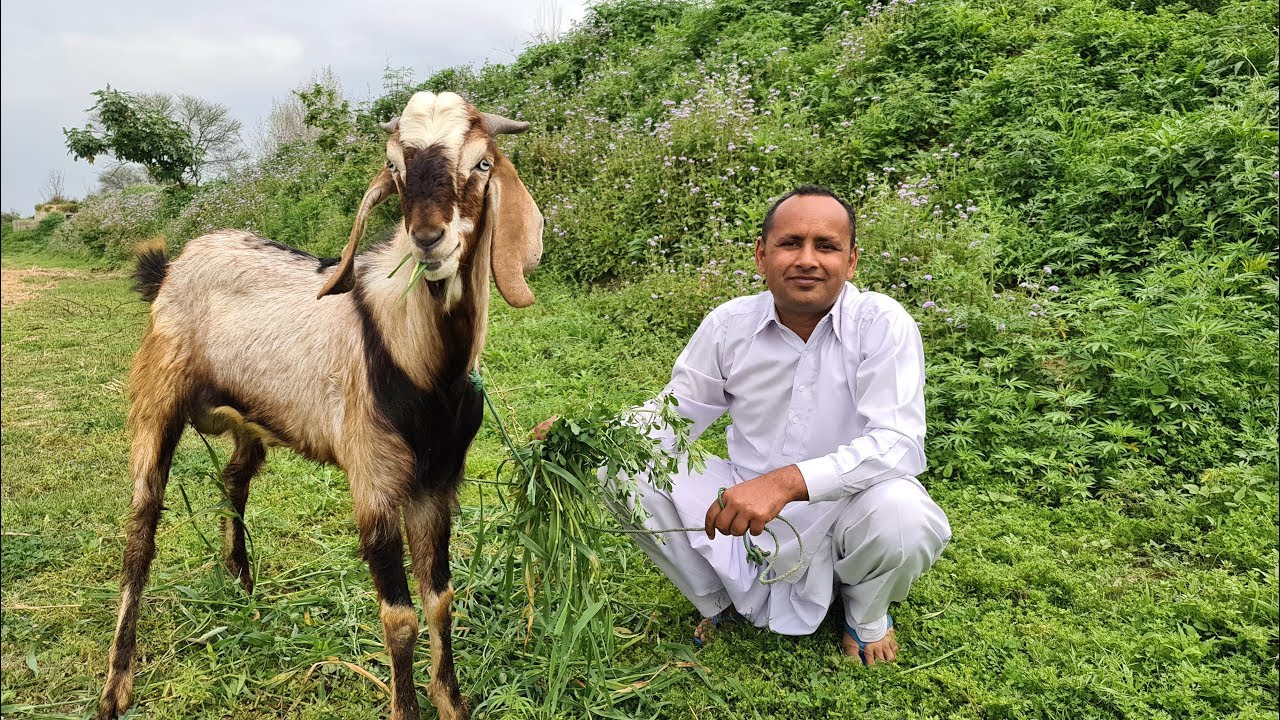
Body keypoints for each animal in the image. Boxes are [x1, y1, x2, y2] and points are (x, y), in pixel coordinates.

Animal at [97, 91, 543, 720]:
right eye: (395, 169)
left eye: (481, 163)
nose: (429, 238)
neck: (424, 365)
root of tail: (173, 264)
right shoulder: (373, 481)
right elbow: (399, 617)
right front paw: (406, 707)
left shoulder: (437, 482)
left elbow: (440, 599)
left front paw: (452, 702)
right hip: (158, 398)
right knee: (141, 528)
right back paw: (117, 685)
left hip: (250, 419)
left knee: (233, 478)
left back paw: (243, 586)